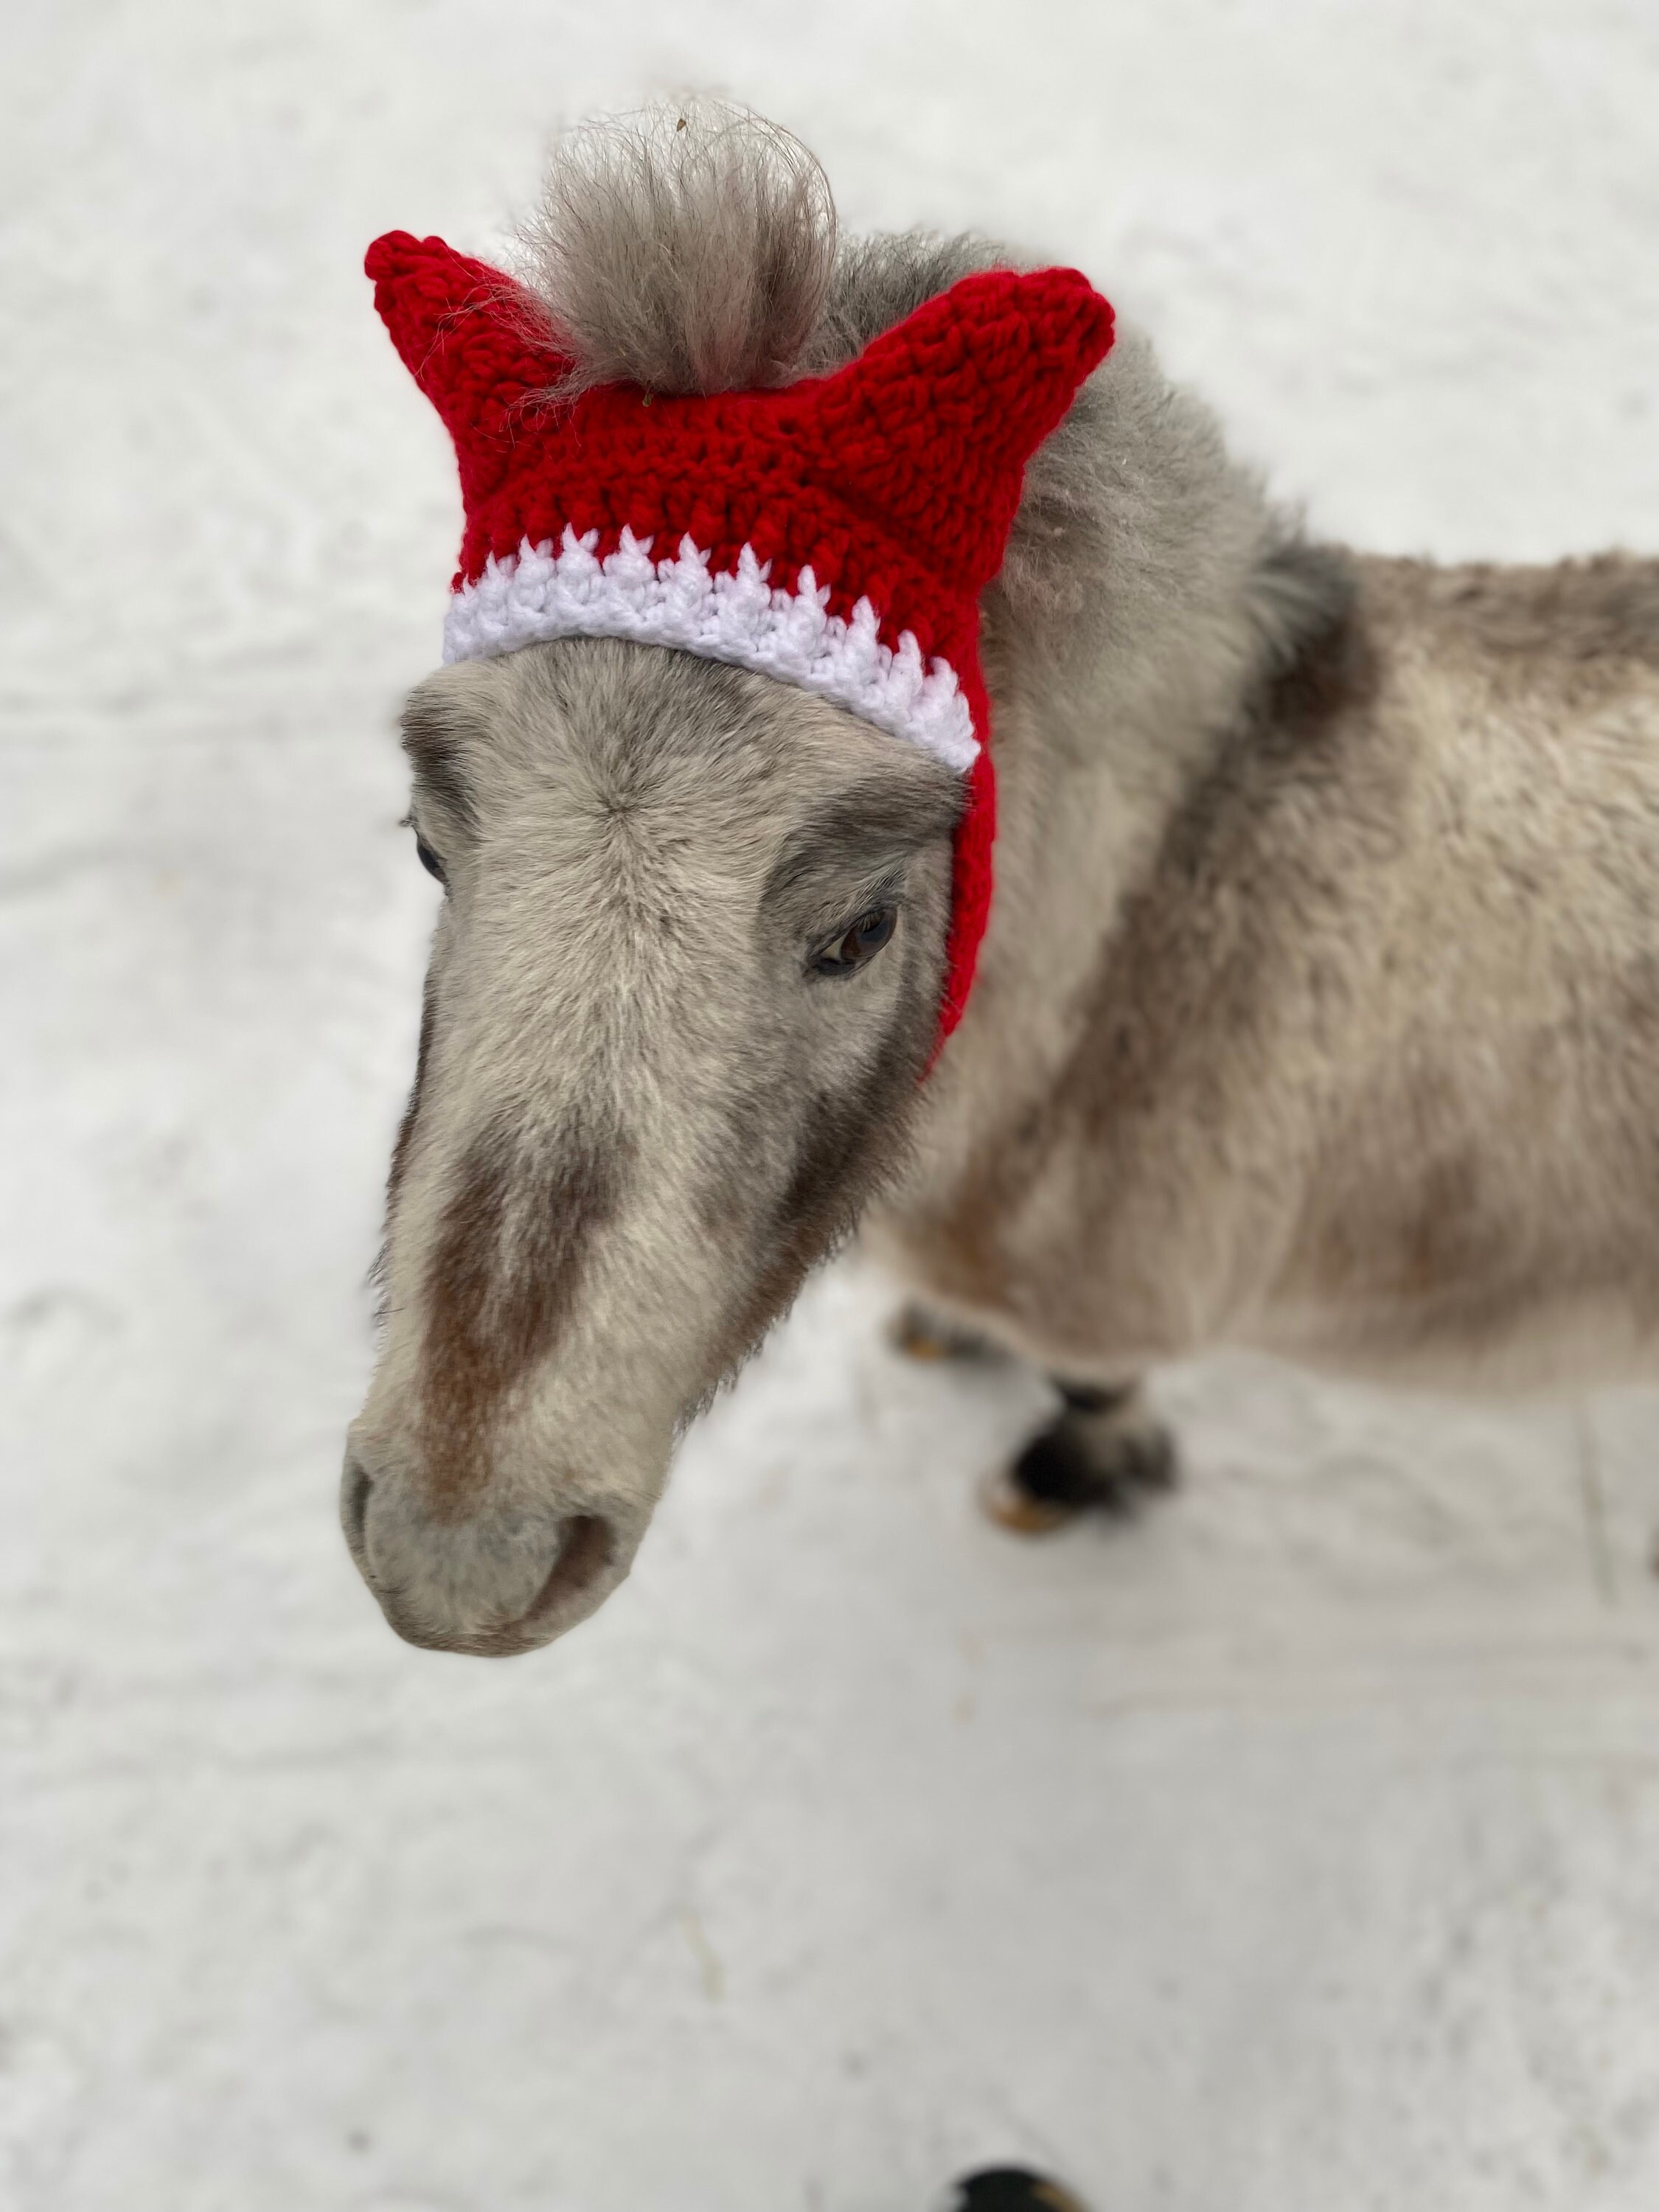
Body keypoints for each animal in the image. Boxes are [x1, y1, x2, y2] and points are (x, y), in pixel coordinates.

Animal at [343, 106, 1659, 1655]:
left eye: (864, 928)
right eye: (430, 844)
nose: (460, 1557)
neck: (1147, 944)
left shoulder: (1111, 1312)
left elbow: (1090, 1391)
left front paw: (1064, 1479)